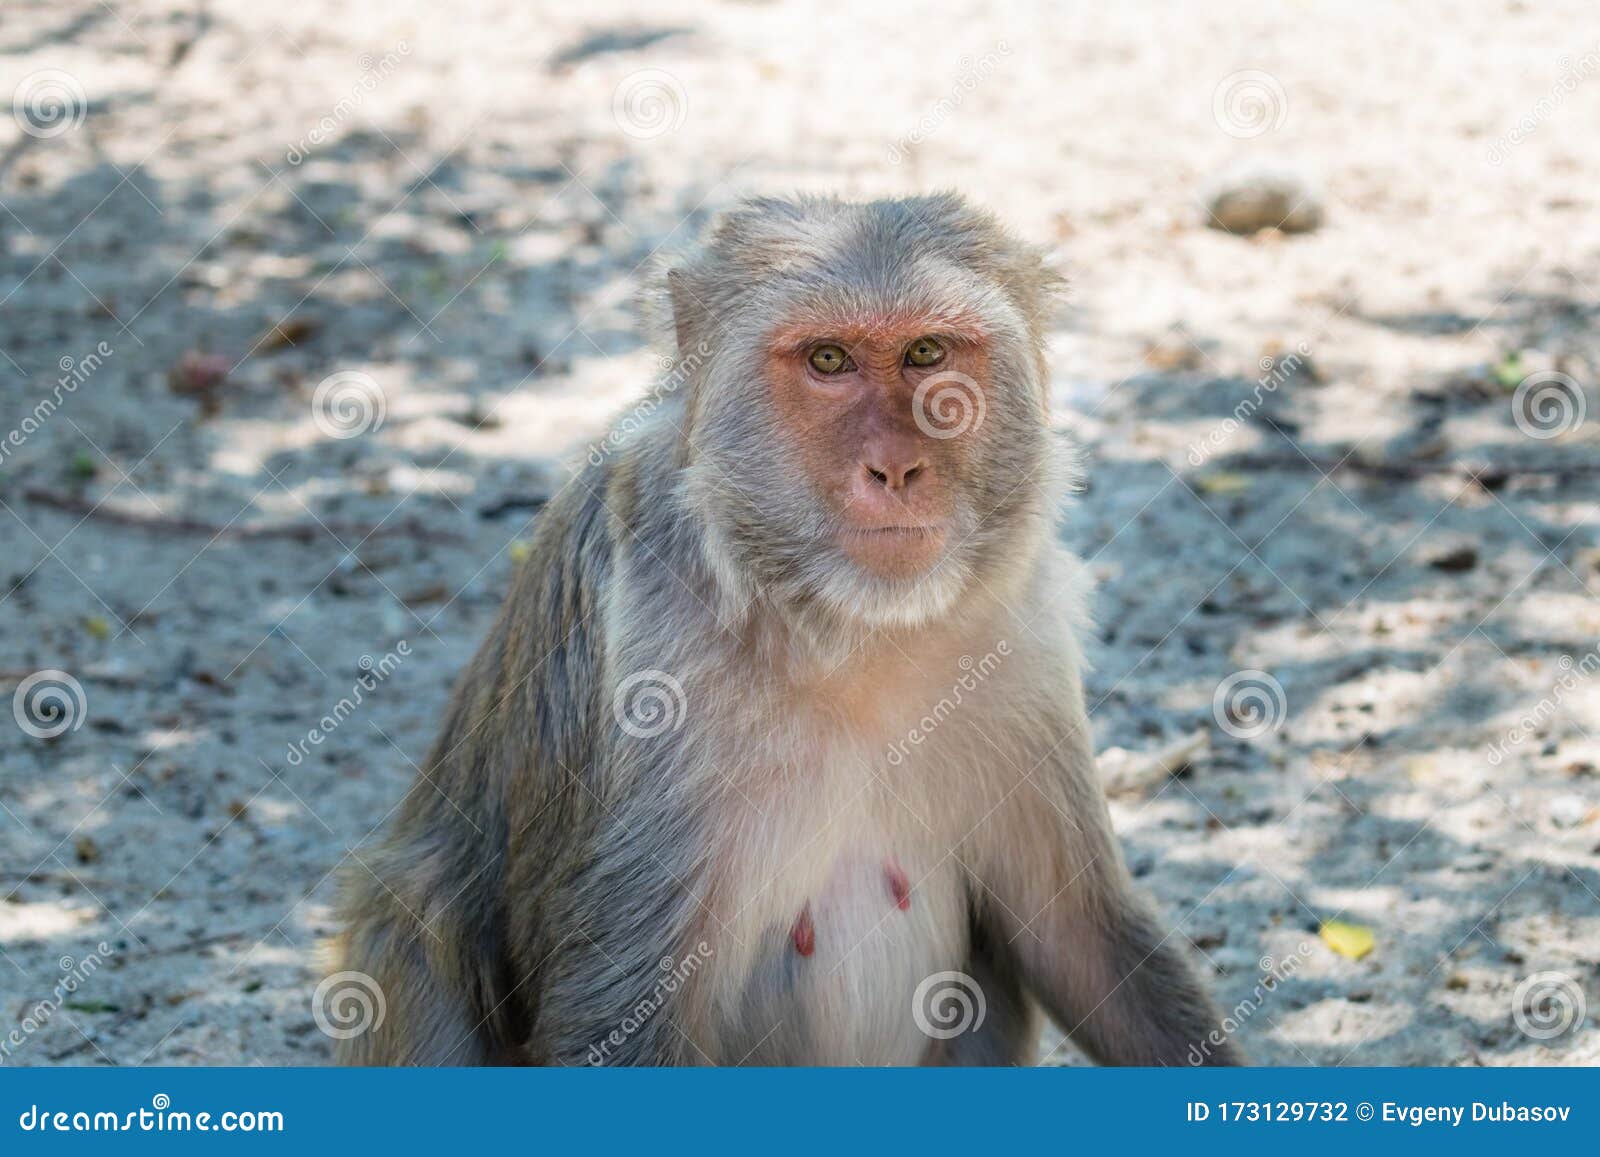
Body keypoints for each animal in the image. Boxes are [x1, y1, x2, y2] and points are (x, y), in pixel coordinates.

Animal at [332, 193, 1242, 1067]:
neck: (845, 631)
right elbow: (618, 1012)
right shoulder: (651, 659)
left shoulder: (1024, 642)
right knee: (412, 915)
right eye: (829, 360)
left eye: (927, 353)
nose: (895, 468)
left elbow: (1079, 933)